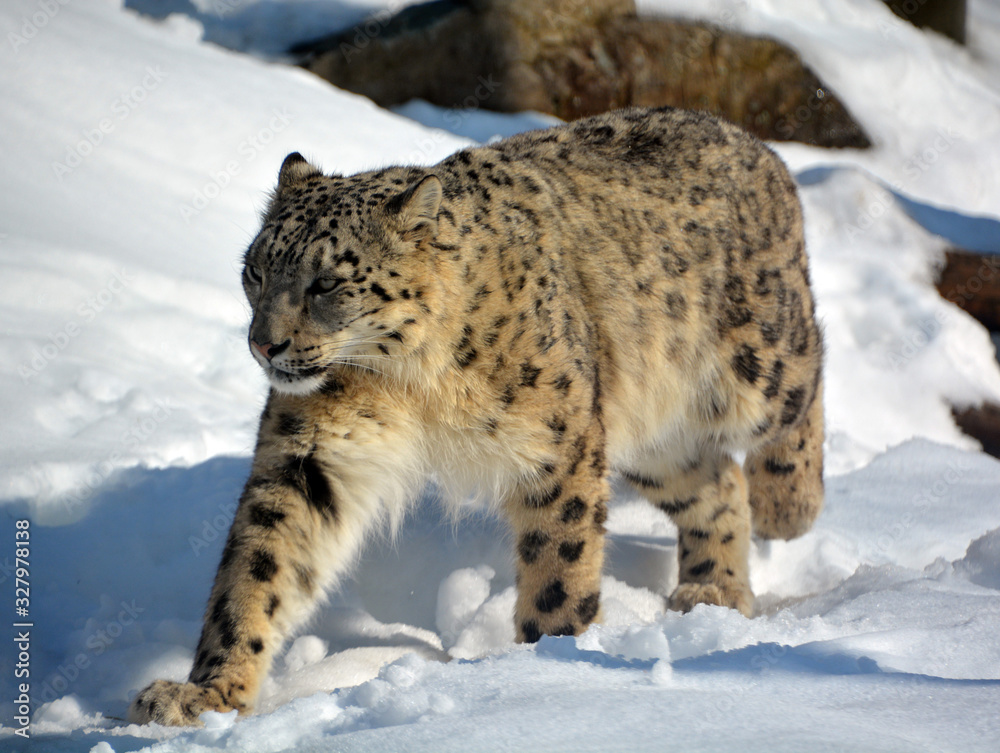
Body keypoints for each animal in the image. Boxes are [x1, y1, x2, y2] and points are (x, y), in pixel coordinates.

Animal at [130, 106, 823, 726]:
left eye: (326, 283)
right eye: (254, 270)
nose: (263, 345)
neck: (408, 384)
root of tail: (757, 145)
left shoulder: (558, 442)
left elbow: (560, 558)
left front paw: (550, 657)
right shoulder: (310, 456)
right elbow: (258, 567)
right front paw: (205, 694)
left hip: (755, 365)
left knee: (805, 382)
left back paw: (789, 506)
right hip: (651, 439)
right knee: (717, 482)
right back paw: (714, 591)